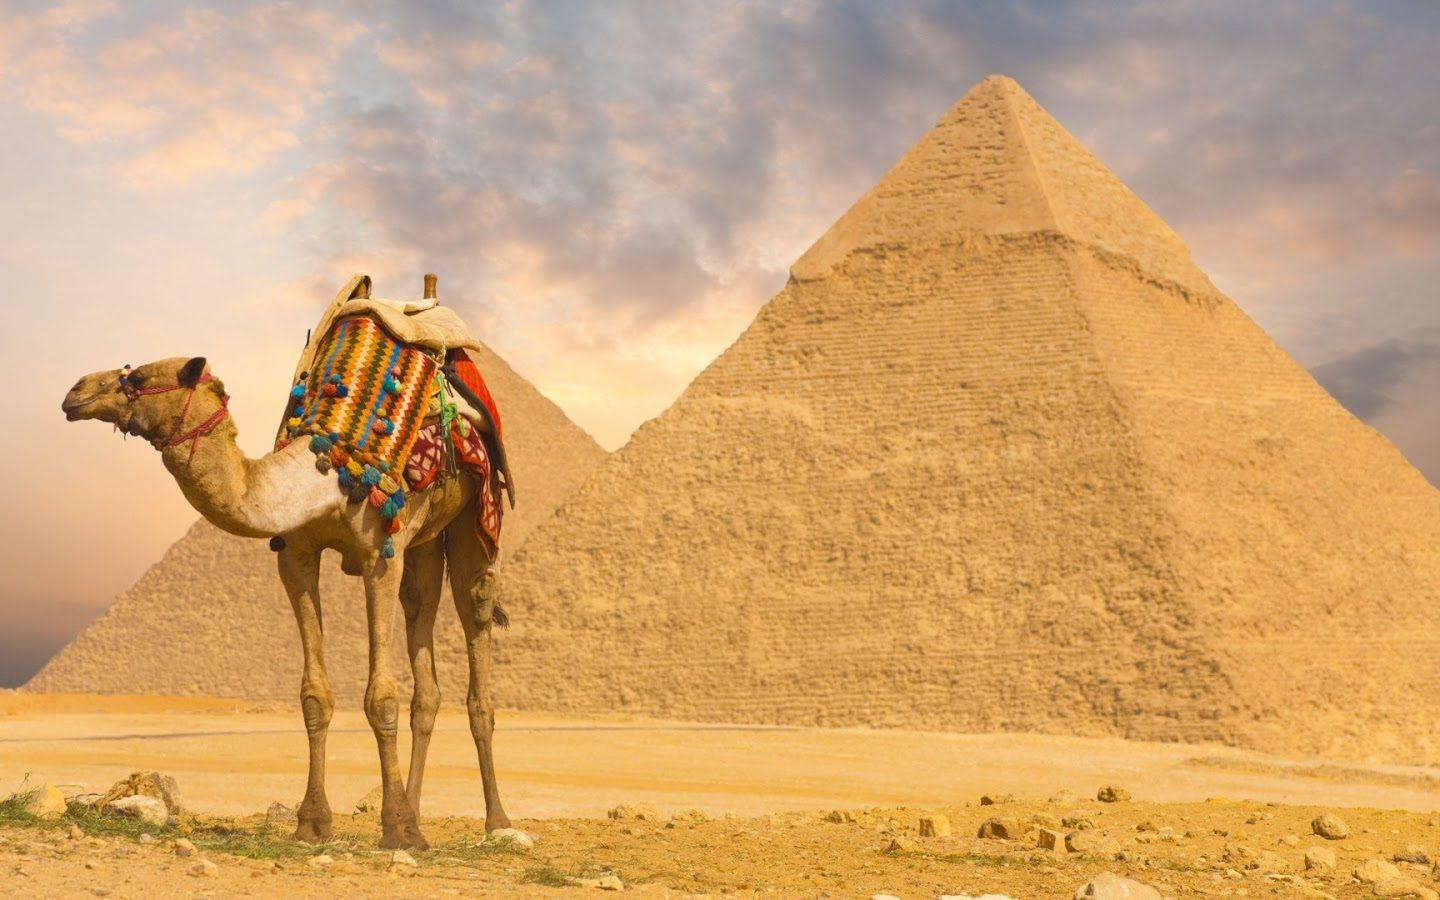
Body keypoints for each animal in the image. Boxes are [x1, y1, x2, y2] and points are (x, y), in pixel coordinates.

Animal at [60, 298, 511, 850]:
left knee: (474, 613)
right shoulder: (296, 555)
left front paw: (395, 828)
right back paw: (420, 815)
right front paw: (314, 822)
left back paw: (495, 821)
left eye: (140, 375)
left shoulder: (379, 555)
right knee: (423, 637)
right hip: (425, 542)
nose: (75, 391)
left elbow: (380, 696)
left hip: (473, 516)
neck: (327, 471)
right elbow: (314, 695)